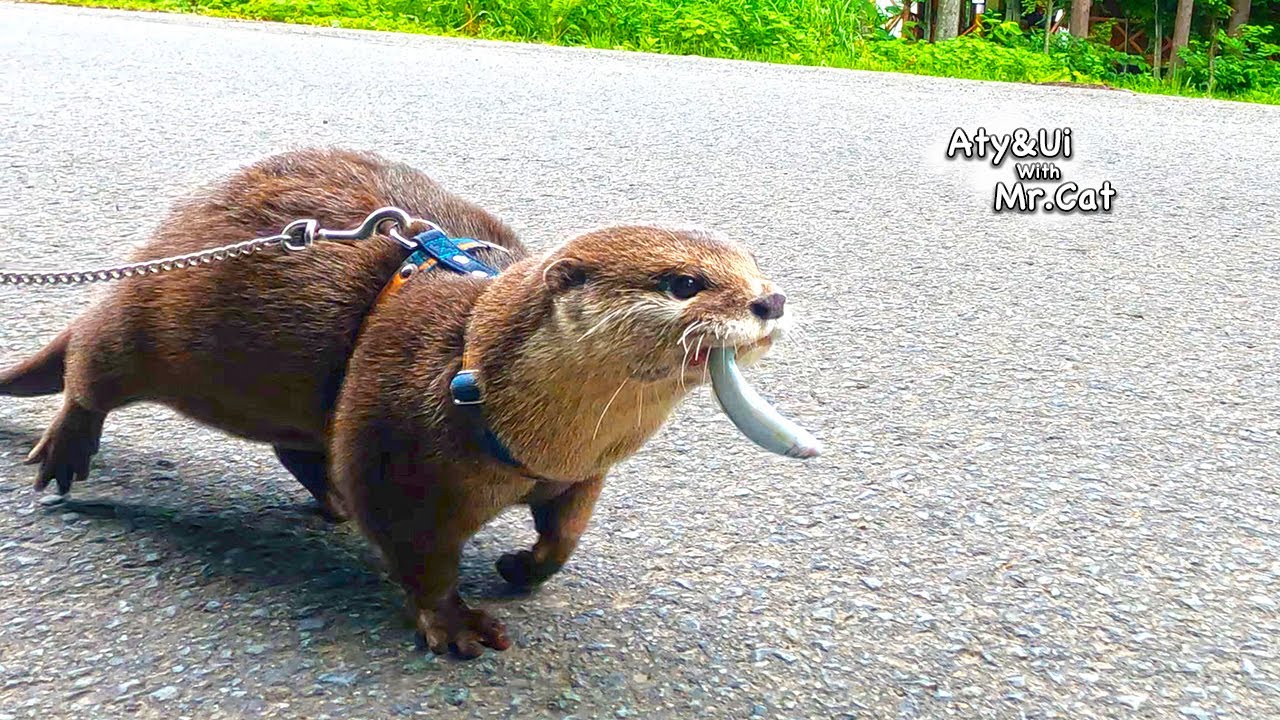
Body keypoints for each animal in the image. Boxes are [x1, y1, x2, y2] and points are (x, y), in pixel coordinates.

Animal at [0, 147, 790, 658]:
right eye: (683, 283)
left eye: (754, 266)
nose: (772, 299)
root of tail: (161, 242)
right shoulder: (398, 451)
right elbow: (419, 553)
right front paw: (458, 624)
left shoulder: (580, 470)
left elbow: (565, 536)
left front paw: (522, 568)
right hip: (157, 321)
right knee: (91, 357)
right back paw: (66, 451)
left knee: (297, 445)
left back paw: (330, 501)